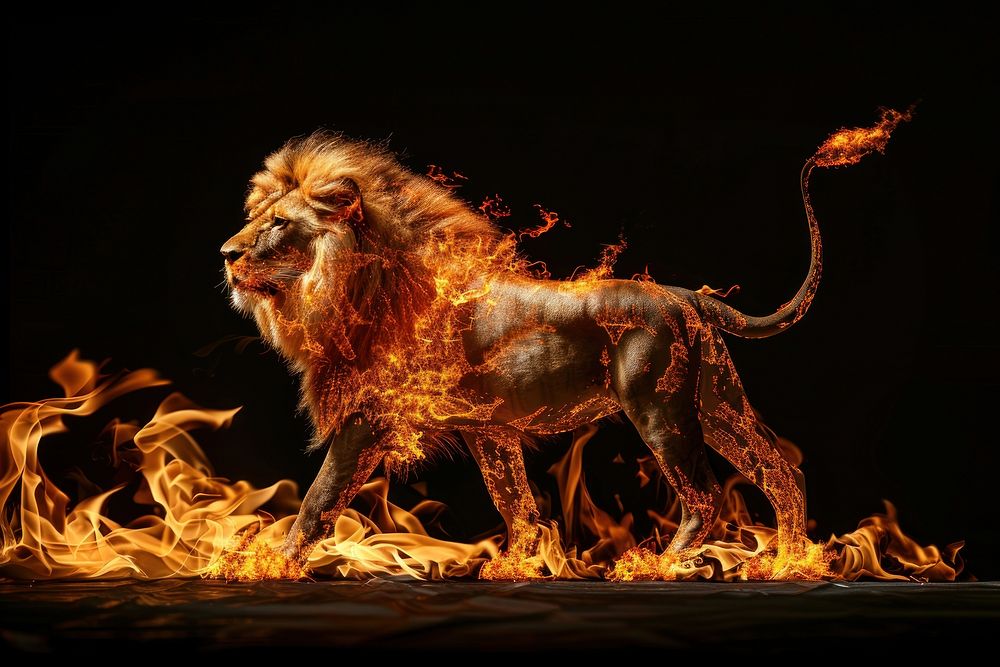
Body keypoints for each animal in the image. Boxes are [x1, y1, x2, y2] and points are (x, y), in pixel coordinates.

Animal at [221, 111, 907, 577]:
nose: (226, 253)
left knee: (706, 494)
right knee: (780, 469)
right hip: (718, 402)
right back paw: (791, 559)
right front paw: (515, 564)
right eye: (255, 218)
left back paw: (654, 567)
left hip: (660, 407)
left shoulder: (370, 417)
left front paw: (275, 562)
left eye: (279, 224)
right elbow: (516, 504)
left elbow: (320, 494)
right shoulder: (489, 430)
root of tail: (689, 298)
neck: (354, 286)